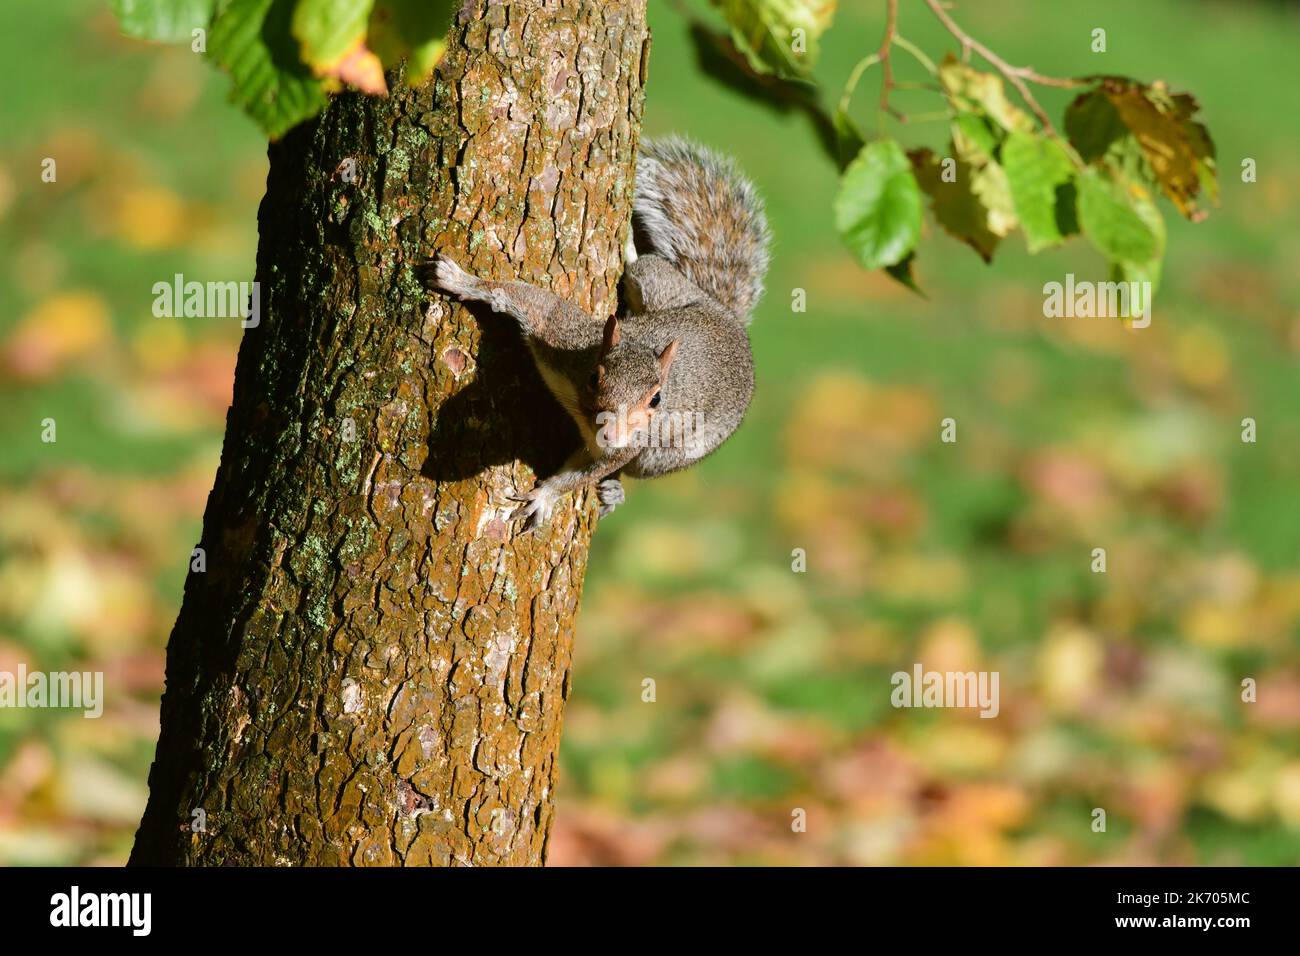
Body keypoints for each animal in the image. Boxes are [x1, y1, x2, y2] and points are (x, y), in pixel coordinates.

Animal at [422, 137, 771, 531]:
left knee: (634, 468)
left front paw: (545, 497)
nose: (611, 433)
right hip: (657, 285)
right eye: (594, 377)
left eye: (657, 400)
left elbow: (587, 473)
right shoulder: (561, 336)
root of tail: (726, 318)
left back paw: (614, 492)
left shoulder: (629, 444)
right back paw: (630, 247)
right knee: (642, 268)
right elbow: (527, 300)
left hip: (667, 453)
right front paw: (461, 280)